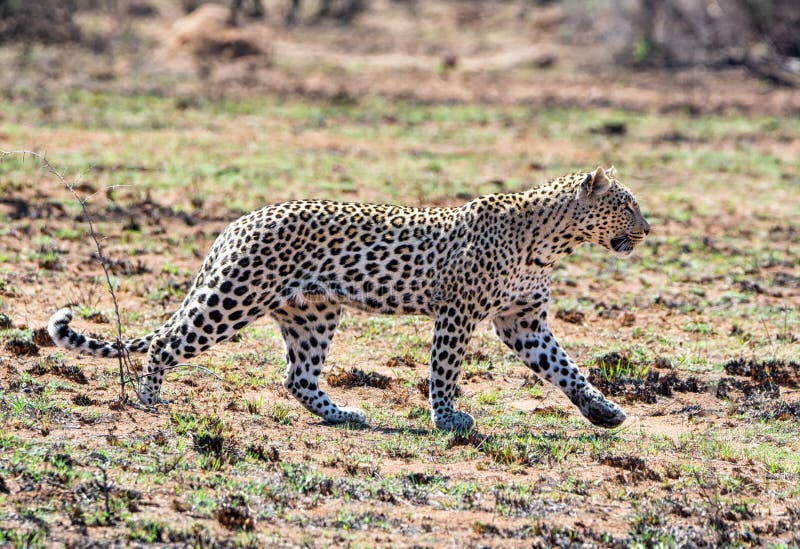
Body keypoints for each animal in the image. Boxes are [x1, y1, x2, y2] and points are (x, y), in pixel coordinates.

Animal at [48, 166, 650, 431]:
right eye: (627, 204)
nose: (647, 231)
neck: (551, 242)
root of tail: (237, 223)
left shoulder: (522, 321)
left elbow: (566, 368)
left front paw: (603, 411)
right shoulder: (458, 313)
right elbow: (445, 370)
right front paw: (446, 418)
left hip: (312, 312)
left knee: (298, 376)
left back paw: (344, 414)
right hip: (233, 298)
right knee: (167, 343)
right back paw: (150, 402)